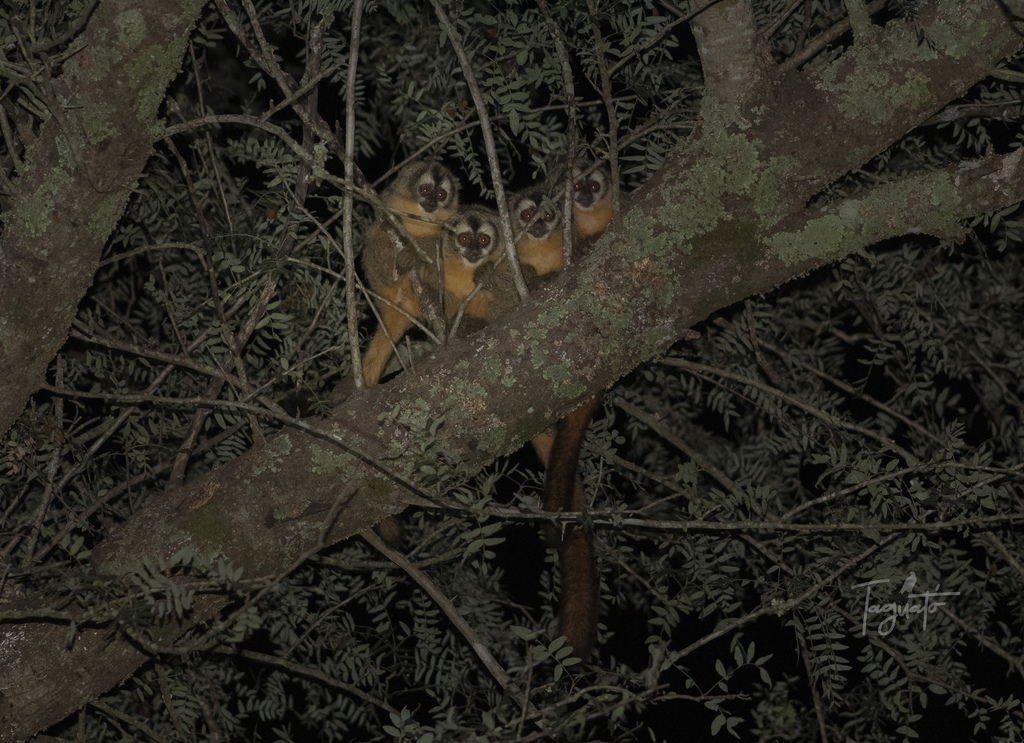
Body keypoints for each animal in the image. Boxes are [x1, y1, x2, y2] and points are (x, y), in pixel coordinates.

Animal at [360, 160, 460, 387]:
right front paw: (393, 221)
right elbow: (377, 226)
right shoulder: (389, 197)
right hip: (377, 279)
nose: (431, 202)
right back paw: (394, 267)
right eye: (425, 190)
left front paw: (414, 255)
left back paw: (428, 290)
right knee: (377, 241)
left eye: (441, 194)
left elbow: (444, 243)